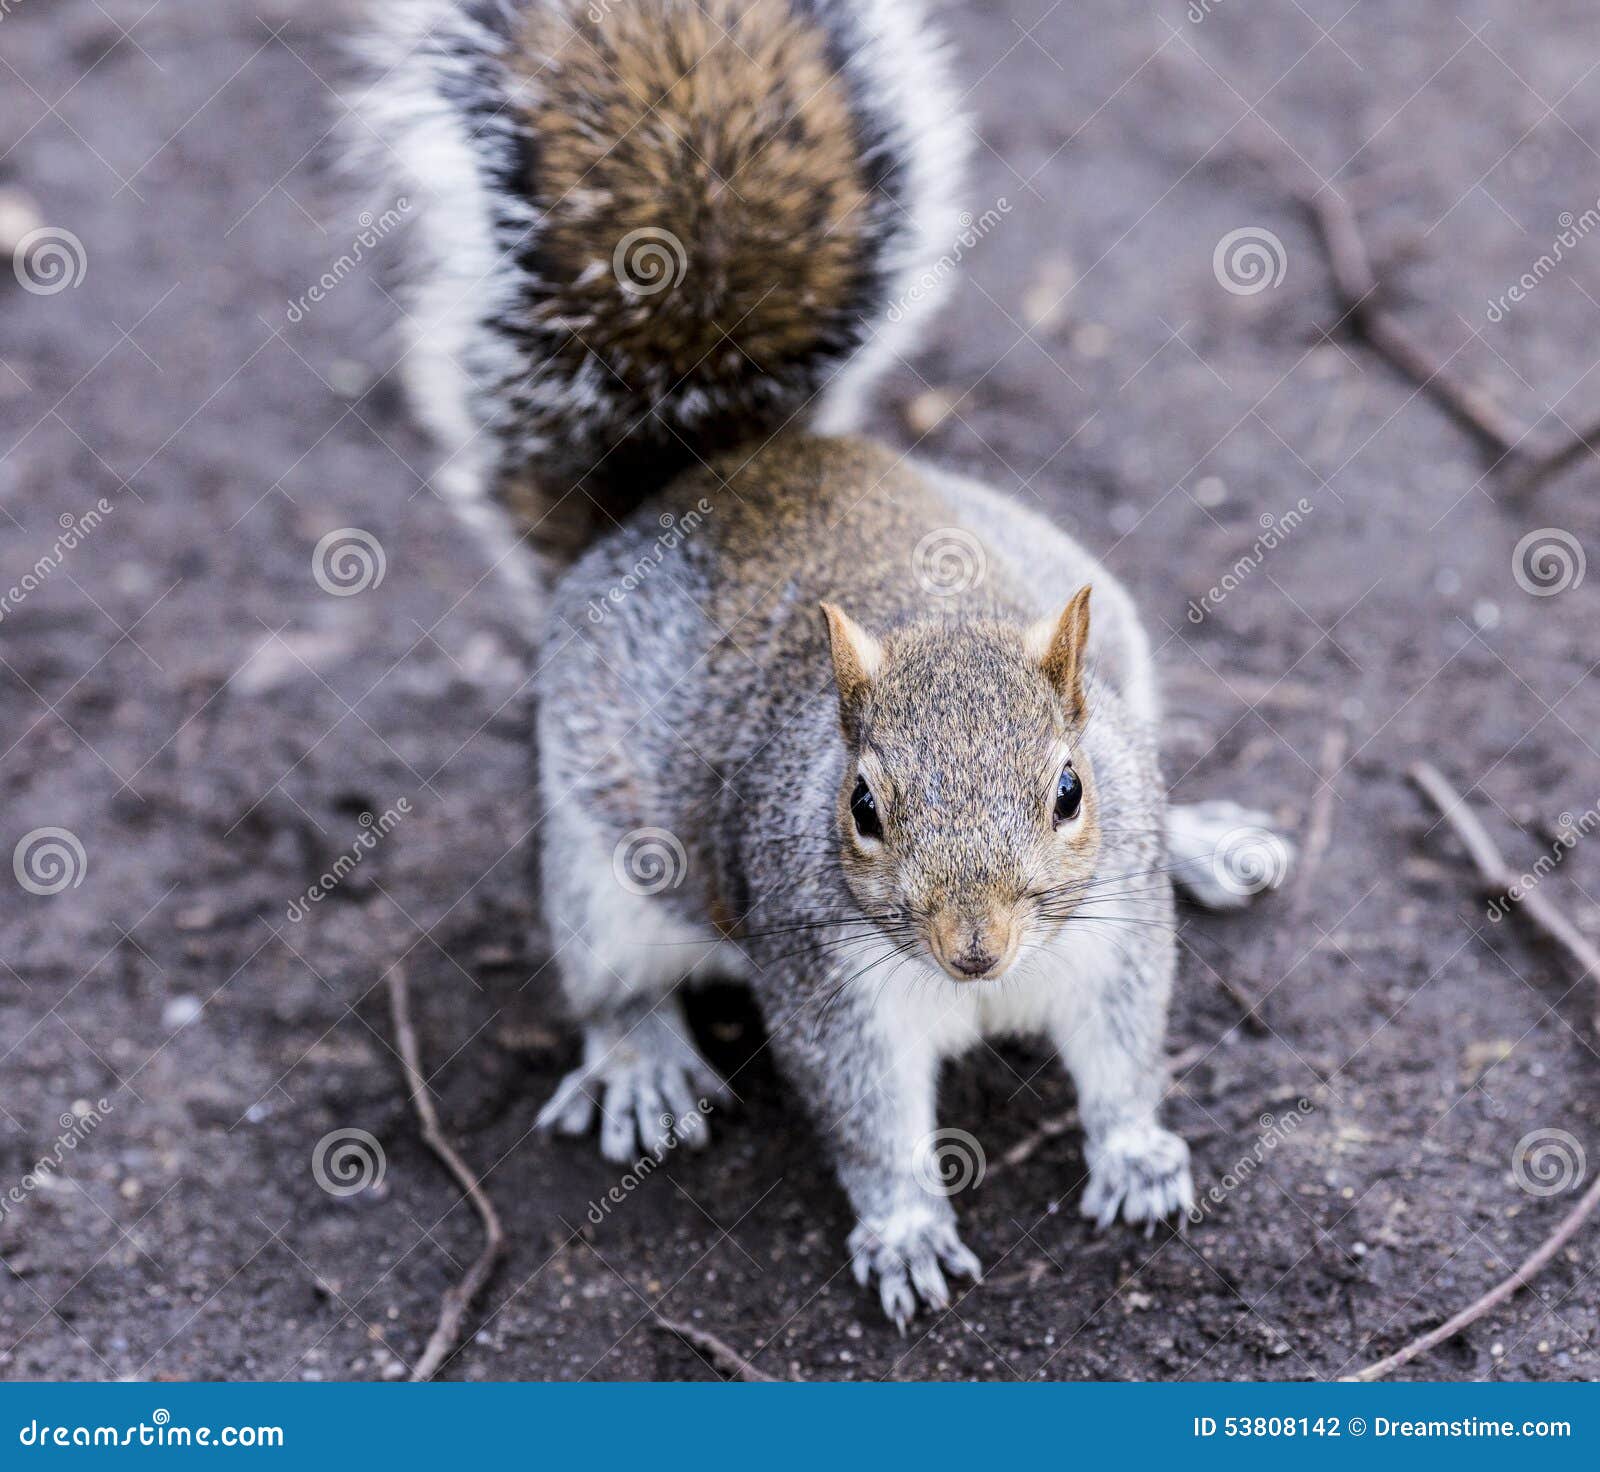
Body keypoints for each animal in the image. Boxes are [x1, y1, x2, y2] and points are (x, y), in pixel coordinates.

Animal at [353, 0, 1293, 1327]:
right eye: (861, 806)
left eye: (1068, 791)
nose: (973, 949)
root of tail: (709, 479)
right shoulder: (826, 988)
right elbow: (868, 1118)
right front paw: (903, 1228)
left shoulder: (1114, 936)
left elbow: (1122, 1050)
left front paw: (1138, 1154)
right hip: (593, 867)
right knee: (606, 978)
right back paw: (642, 1060)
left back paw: (1211, 840)